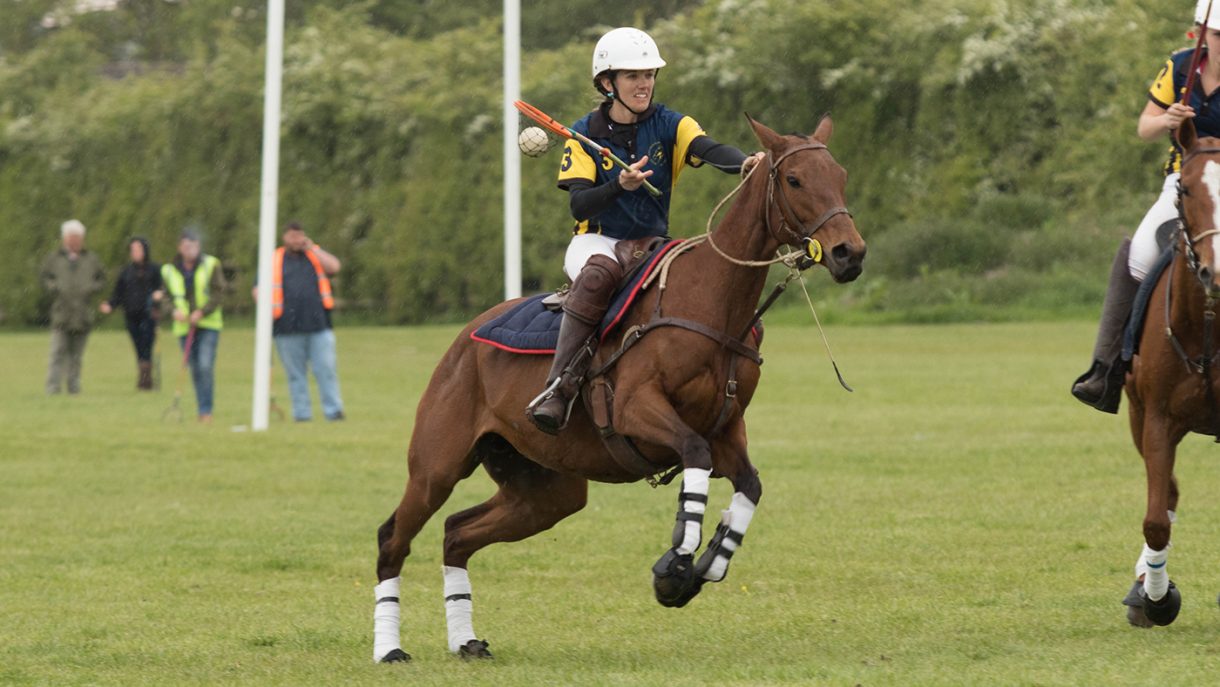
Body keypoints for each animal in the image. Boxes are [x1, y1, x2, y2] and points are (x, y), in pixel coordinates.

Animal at [371, 114, 867, 662]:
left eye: (841, 175)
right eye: (795, 180)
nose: (849, 253)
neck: (712, 302)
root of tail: (463, 338)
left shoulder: (728, 429)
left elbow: (750, 487)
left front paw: (702, 567)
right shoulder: (636, 409)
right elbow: (693, 456)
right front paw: (676, 562)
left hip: (546, 491)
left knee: (457, 533)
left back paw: (465, 641)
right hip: (437, 464)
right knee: (394, 536)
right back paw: (389, 649)